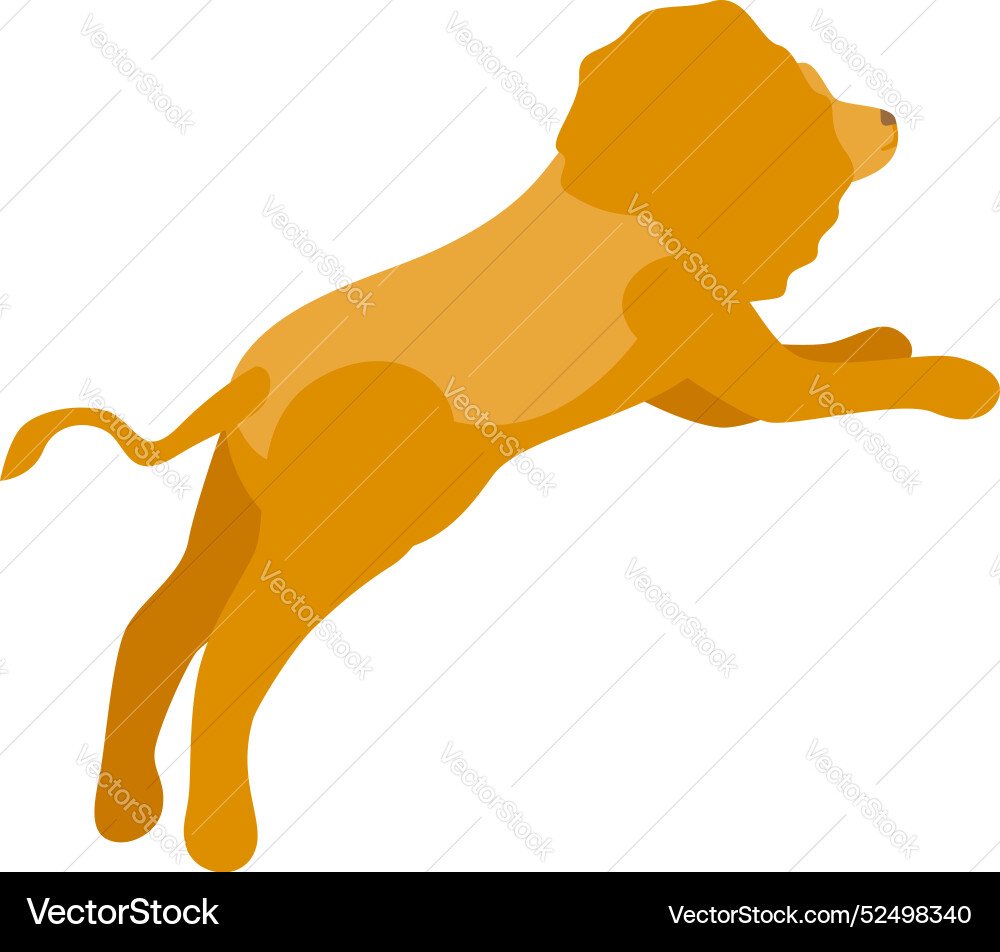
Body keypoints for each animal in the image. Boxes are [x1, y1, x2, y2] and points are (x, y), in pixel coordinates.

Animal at [3, 1, 996, 871]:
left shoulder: (698, 388)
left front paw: (884, 334)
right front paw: (963, 382)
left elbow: (832, 354)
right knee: (236, 650)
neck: (632, 198)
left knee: (157, 623)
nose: (889, 114)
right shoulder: (745, 380)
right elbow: (842, 382)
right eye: (809, 88)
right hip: (349, 526)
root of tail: (255, 380)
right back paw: (220, 835)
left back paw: (125, 810)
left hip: (240, 507)